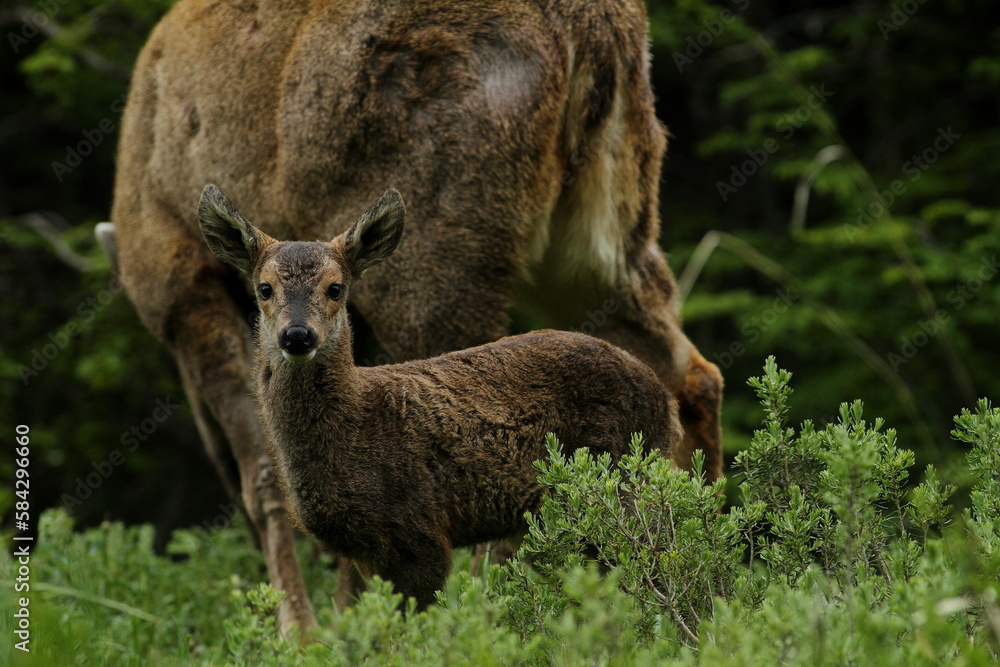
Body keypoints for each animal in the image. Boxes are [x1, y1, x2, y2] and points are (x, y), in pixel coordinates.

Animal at [196, 183, 681, 609]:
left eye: (336, 288)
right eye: (264, 288)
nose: (297, 335)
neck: (356, 426)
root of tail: (664, 400)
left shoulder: (419, 529)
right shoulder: (364, 551)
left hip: (623, 484)